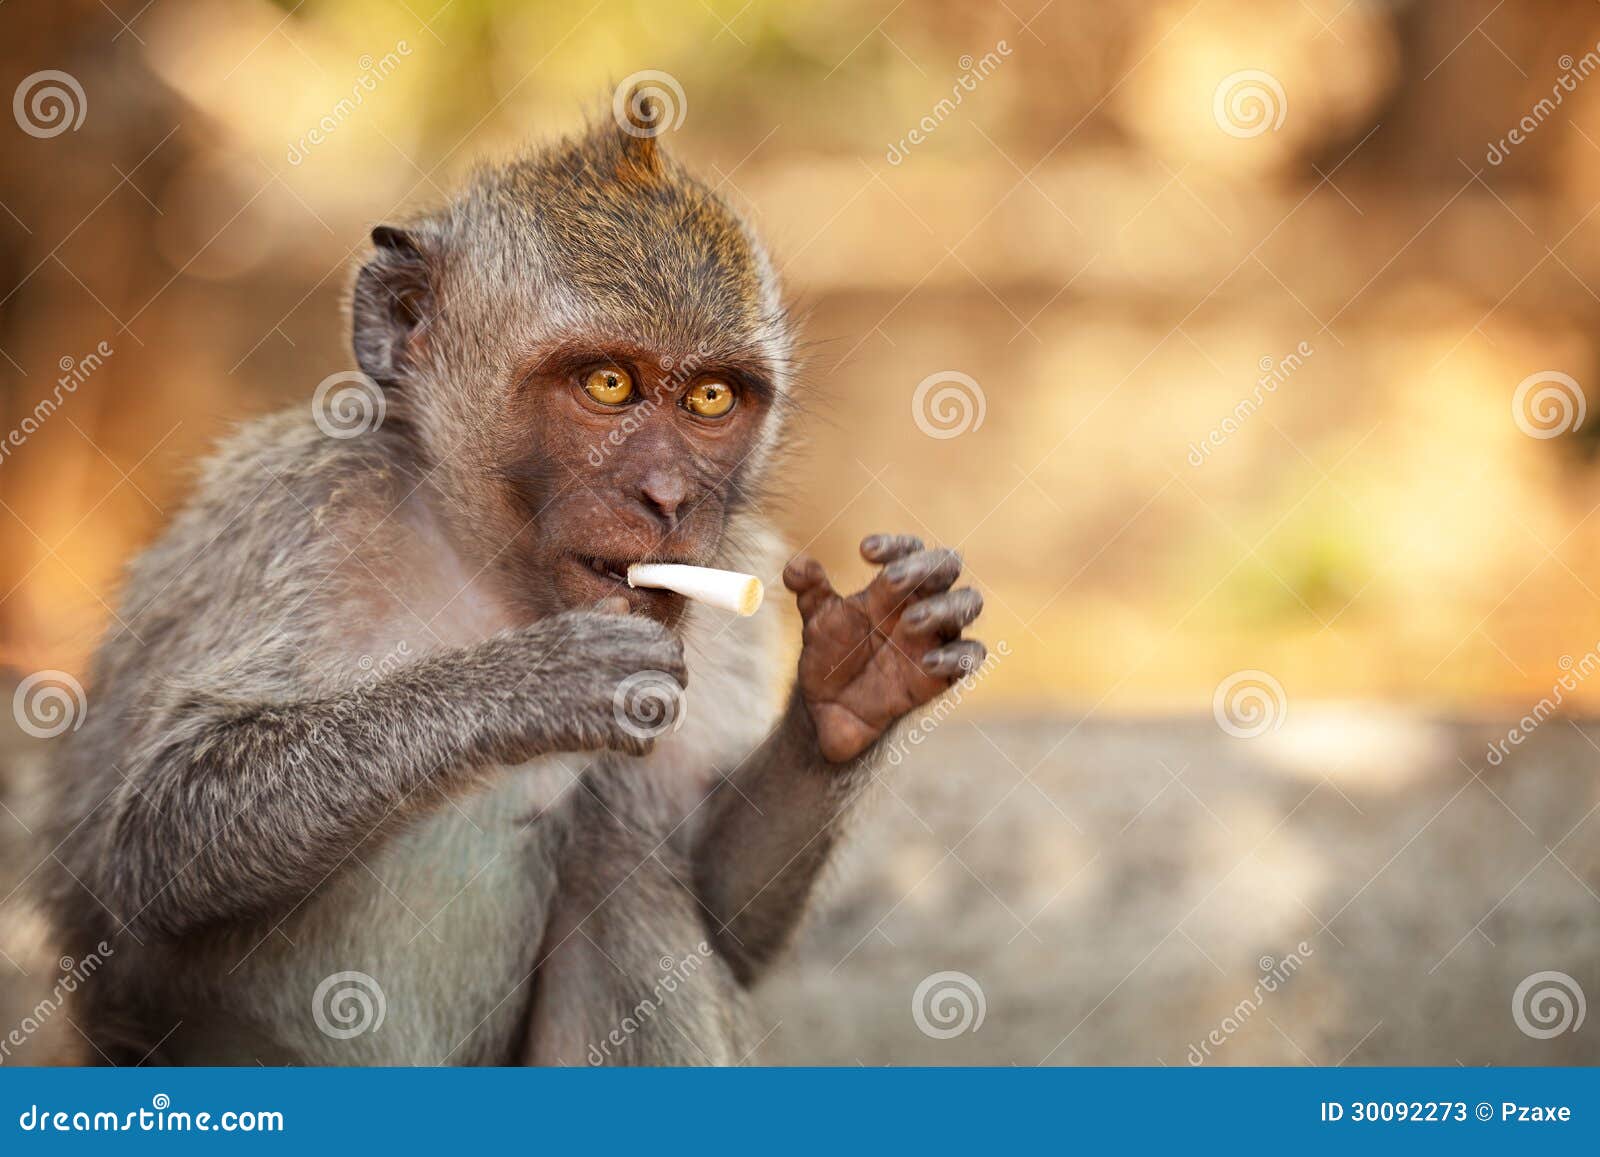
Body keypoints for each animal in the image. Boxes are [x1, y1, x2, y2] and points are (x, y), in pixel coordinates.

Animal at [40, 105, 986, 1066]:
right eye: (609, 383)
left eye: (712, 399)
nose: (669, 497)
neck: (488, 568)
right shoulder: (303, 520)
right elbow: (159, 832)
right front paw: (534, 682)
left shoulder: (739, 577)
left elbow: (724, 909)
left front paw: (858, 676)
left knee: (617, 858)